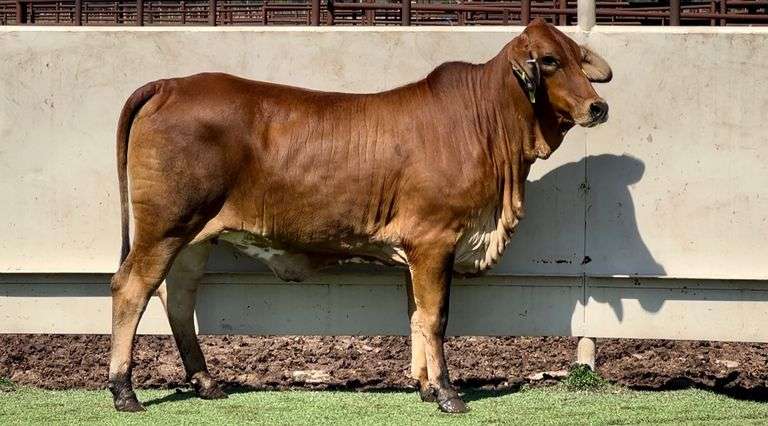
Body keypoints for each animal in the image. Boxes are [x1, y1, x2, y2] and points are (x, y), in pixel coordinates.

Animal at [108, 19, 611, 414]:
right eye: (549, 60)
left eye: (576, 57)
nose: (598, 106)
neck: (487, 125)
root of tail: (170, 84)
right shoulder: (435, 240)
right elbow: (436, 317)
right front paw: (447, 393)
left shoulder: (417, 251)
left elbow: (415, 315)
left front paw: (424, 387)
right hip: (164, 227)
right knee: (131, 288)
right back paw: (123, 391)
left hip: (195, 237)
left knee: (177, 298)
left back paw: (206, 383)